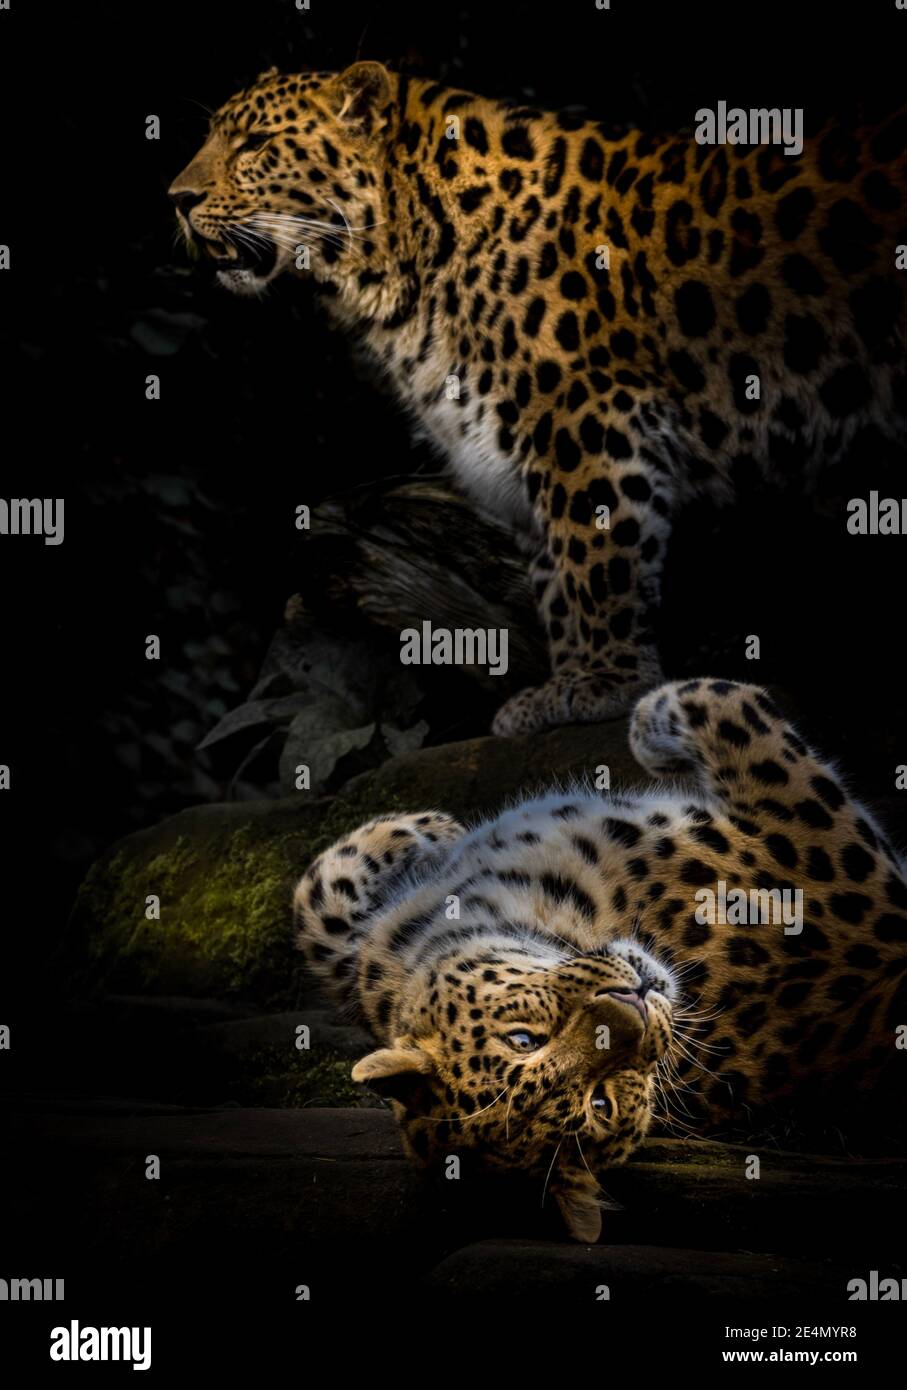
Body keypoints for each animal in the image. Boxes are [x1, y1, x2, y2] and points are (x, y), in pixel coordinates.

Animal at [169, 62, 907, 736]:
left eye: (255, 144)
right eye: (212, 138)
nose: (176, 198)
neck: (404, 263)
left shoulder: (588, 415)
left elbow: (597, 559)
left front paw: (604, 684)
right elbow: (555, 577)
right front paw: (563, 686)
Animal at [294, 677, 907, 1241]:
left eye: (523, 1038)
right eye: (600, 1103)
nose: (634, 997)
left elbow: (314, 906)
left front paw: (425, 830)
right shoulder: (827, 852)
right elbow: (726, 705)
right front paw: (649, 724)